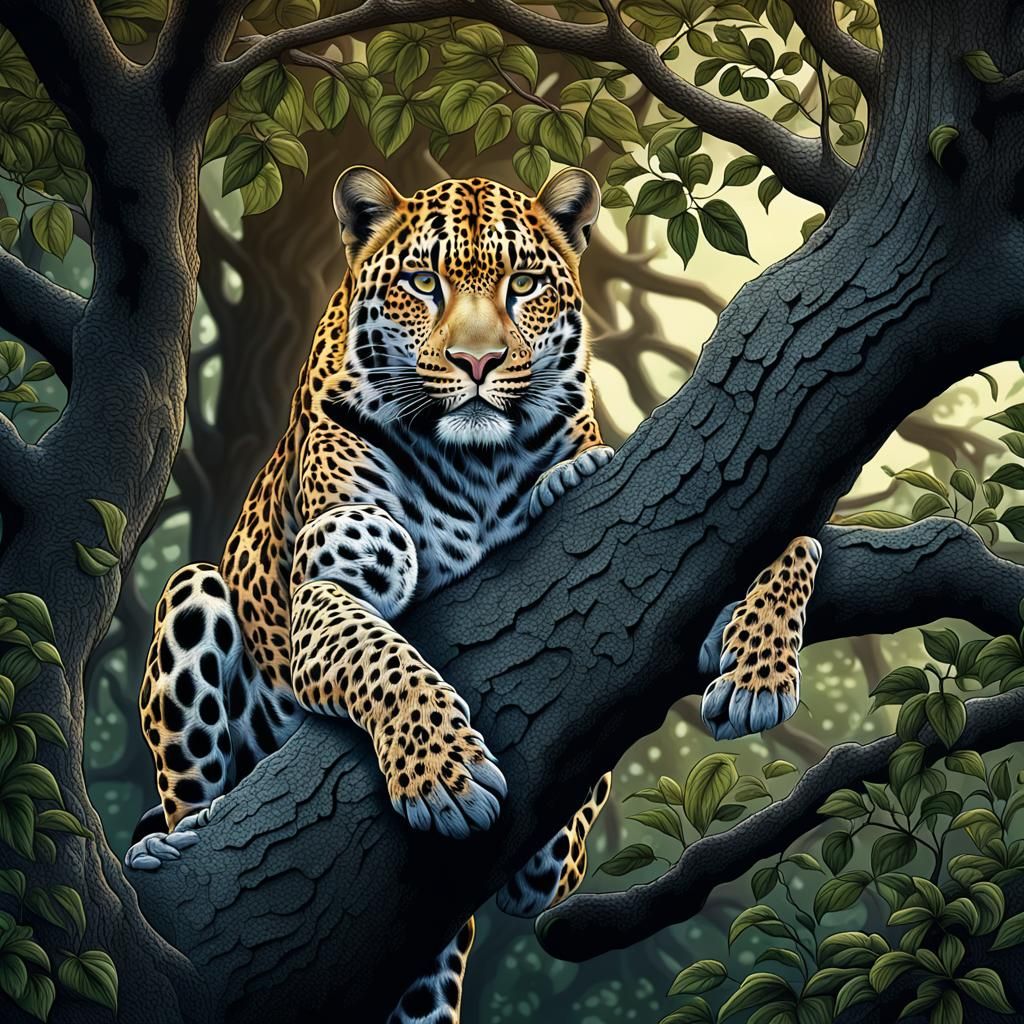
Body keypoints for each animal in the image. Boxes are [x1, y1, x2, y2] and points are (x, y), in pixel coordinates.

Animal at [123, 164, 821, 1023]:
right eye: (424, 282)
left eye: (523, 284)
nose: (478, 364)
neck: (479, 467)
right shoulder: (315, 606)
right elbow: (380, 654)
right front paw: (445, 777)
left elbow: (790, 534)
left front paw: (758, 669)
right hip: (193, 593)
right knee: (189, 782)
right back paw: (172, 839)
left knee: (547, 871)